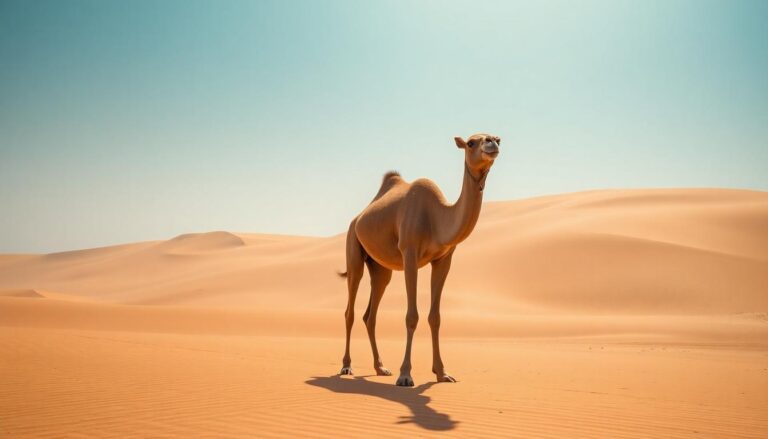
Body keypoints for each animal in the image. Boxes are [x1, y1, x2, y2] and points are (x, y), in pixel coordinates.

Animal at [338, 133, 500, 386]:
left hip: (381, 268)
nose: (492, 144)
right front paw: (405, 375)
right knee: (350, 311)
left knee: (370, 314)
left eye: (498, 139)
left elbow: (435, 317)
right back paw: (346, 366)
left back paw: (380, 367)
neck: (437, 218)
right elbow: (411, 316)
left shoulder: (444, 259)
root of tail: (358, 217)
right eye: (472, 142)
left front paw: (442, 373)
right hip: (353, 248)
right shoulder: (410, 254)